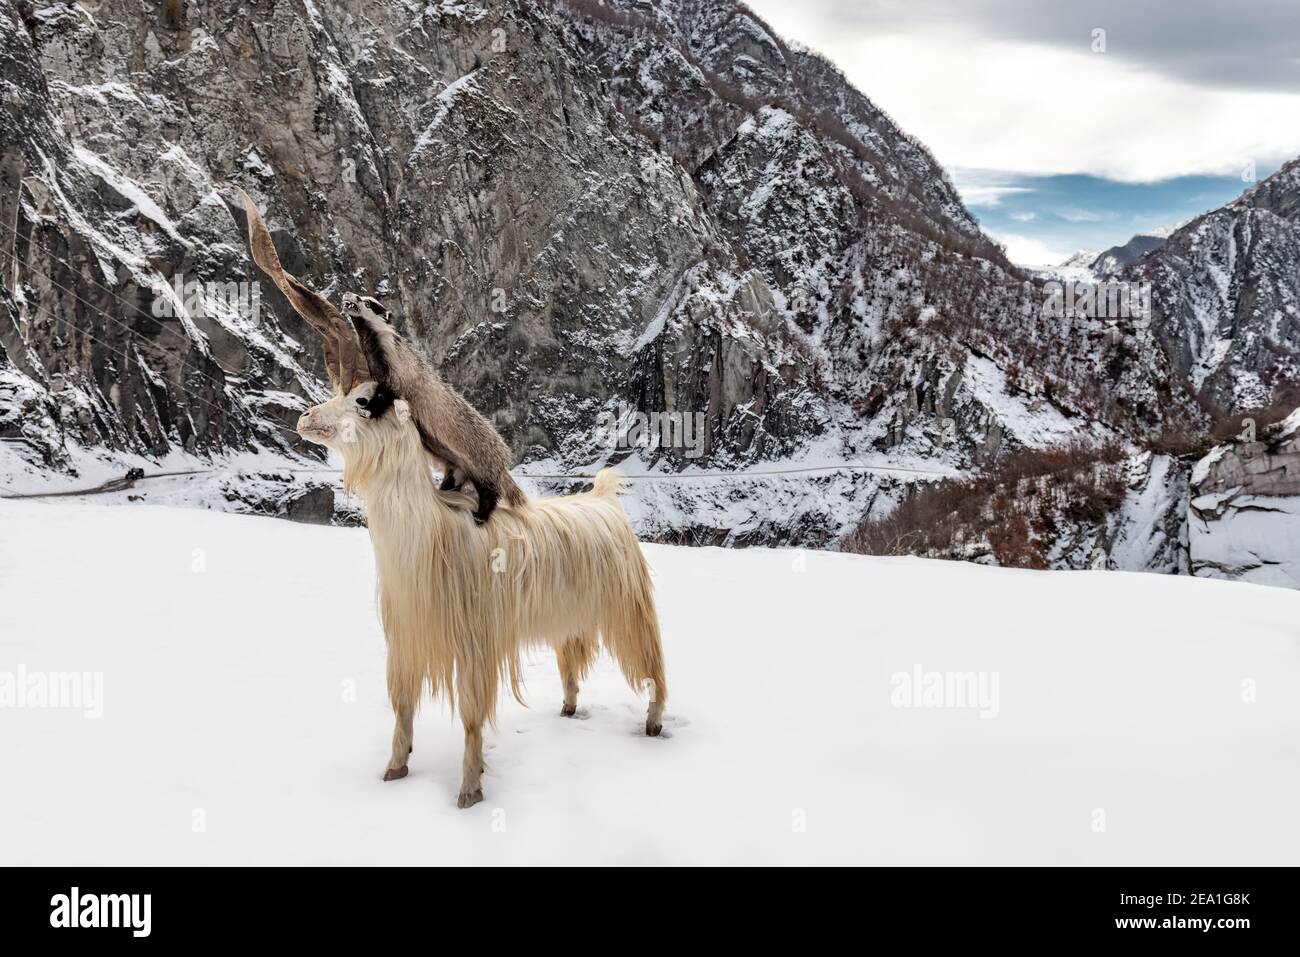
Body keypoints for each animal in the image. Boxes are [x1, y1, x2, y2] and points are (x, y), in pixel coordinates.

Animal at [295, 310, 668, 808]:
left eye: (362, 400)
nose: (305, 418)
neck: (430, 532)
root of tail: (604, 500)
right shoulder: (408, 635)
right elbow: (403, 704)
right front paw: (395, 768)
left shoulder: (476, 639)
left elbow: (472, 716)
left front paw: (470, 790)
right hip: (570, 616)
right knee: (570, 664)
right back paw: (569, 707)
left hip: (629, 607)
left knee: (652, 665)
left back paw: (653, 723)